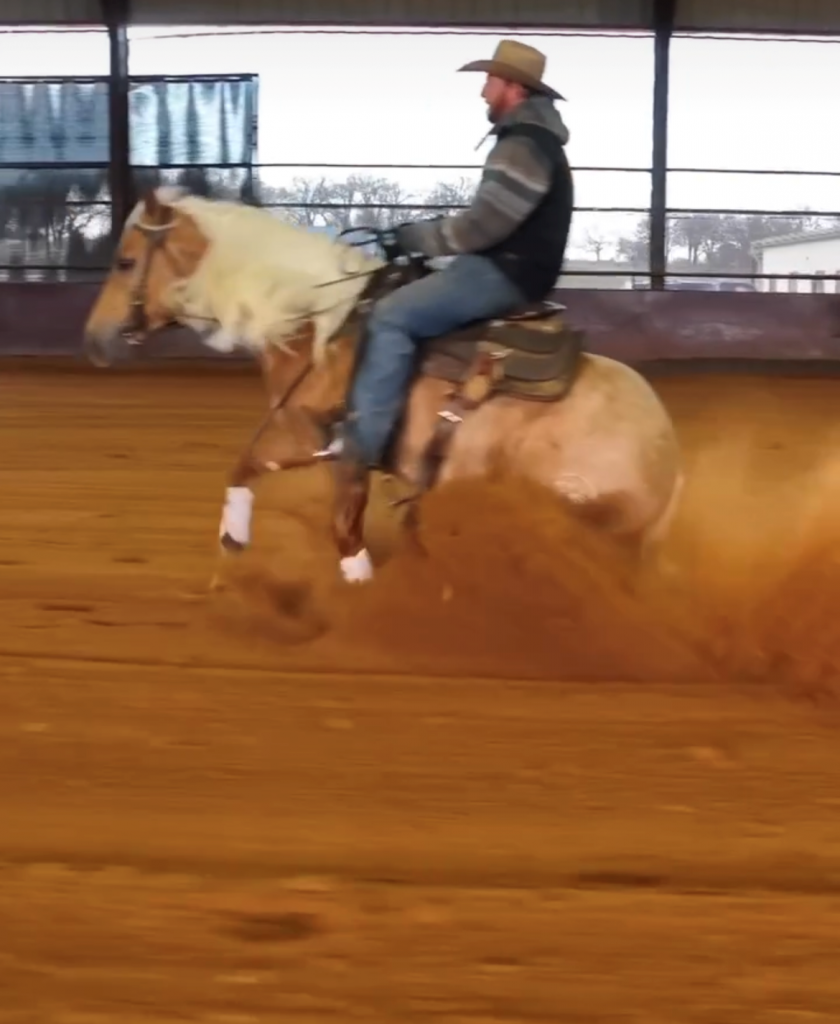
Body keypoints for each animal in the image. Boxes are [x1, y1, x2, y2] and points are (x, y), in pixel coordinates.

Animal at [83, 186, 684, 585]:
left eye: (126, 261)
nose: (93, 339)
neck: (322, 325)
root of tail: (666, 456)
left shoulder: (326, 443)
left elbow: (331, 522)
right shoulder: (318, 447)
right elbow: (248, 471)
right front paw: (234, 540)